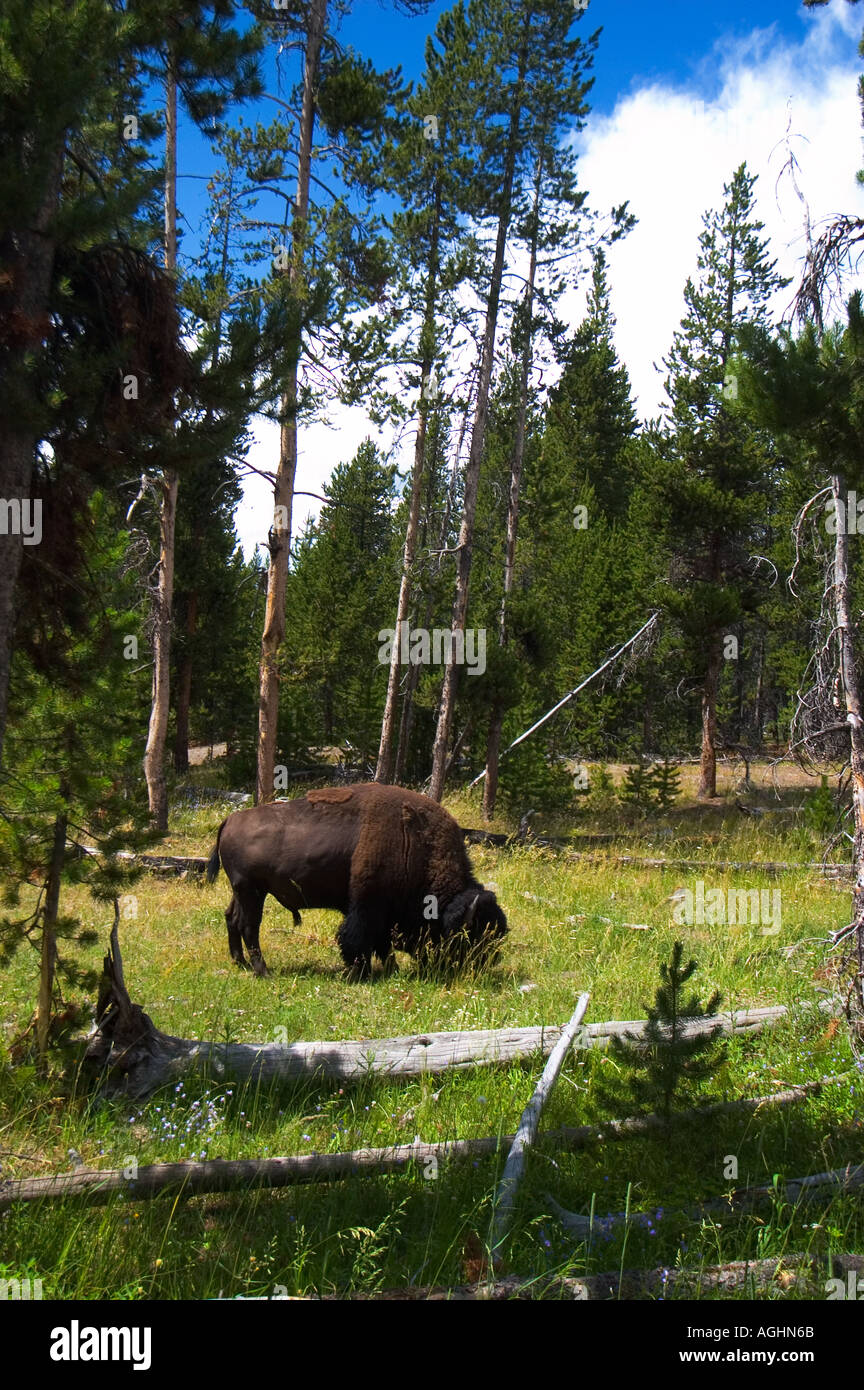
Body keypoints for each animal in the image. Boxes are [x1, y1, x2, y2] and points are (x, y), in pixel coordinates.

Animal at [205, 782, 508, 979]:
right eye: (472, 934)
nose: (488, 962)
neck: (415, 842)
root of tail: (230, 819)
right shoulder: (367, 905)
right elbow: (358, 939)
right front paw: (360, 972)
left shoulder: (382, 912)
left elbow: (382, 944)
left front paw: (390, 969)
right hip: (252, 891)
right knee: (249, 927)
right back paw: (263, 971)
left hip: (242, 891)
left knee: (232, 918)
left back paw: (240, 963)